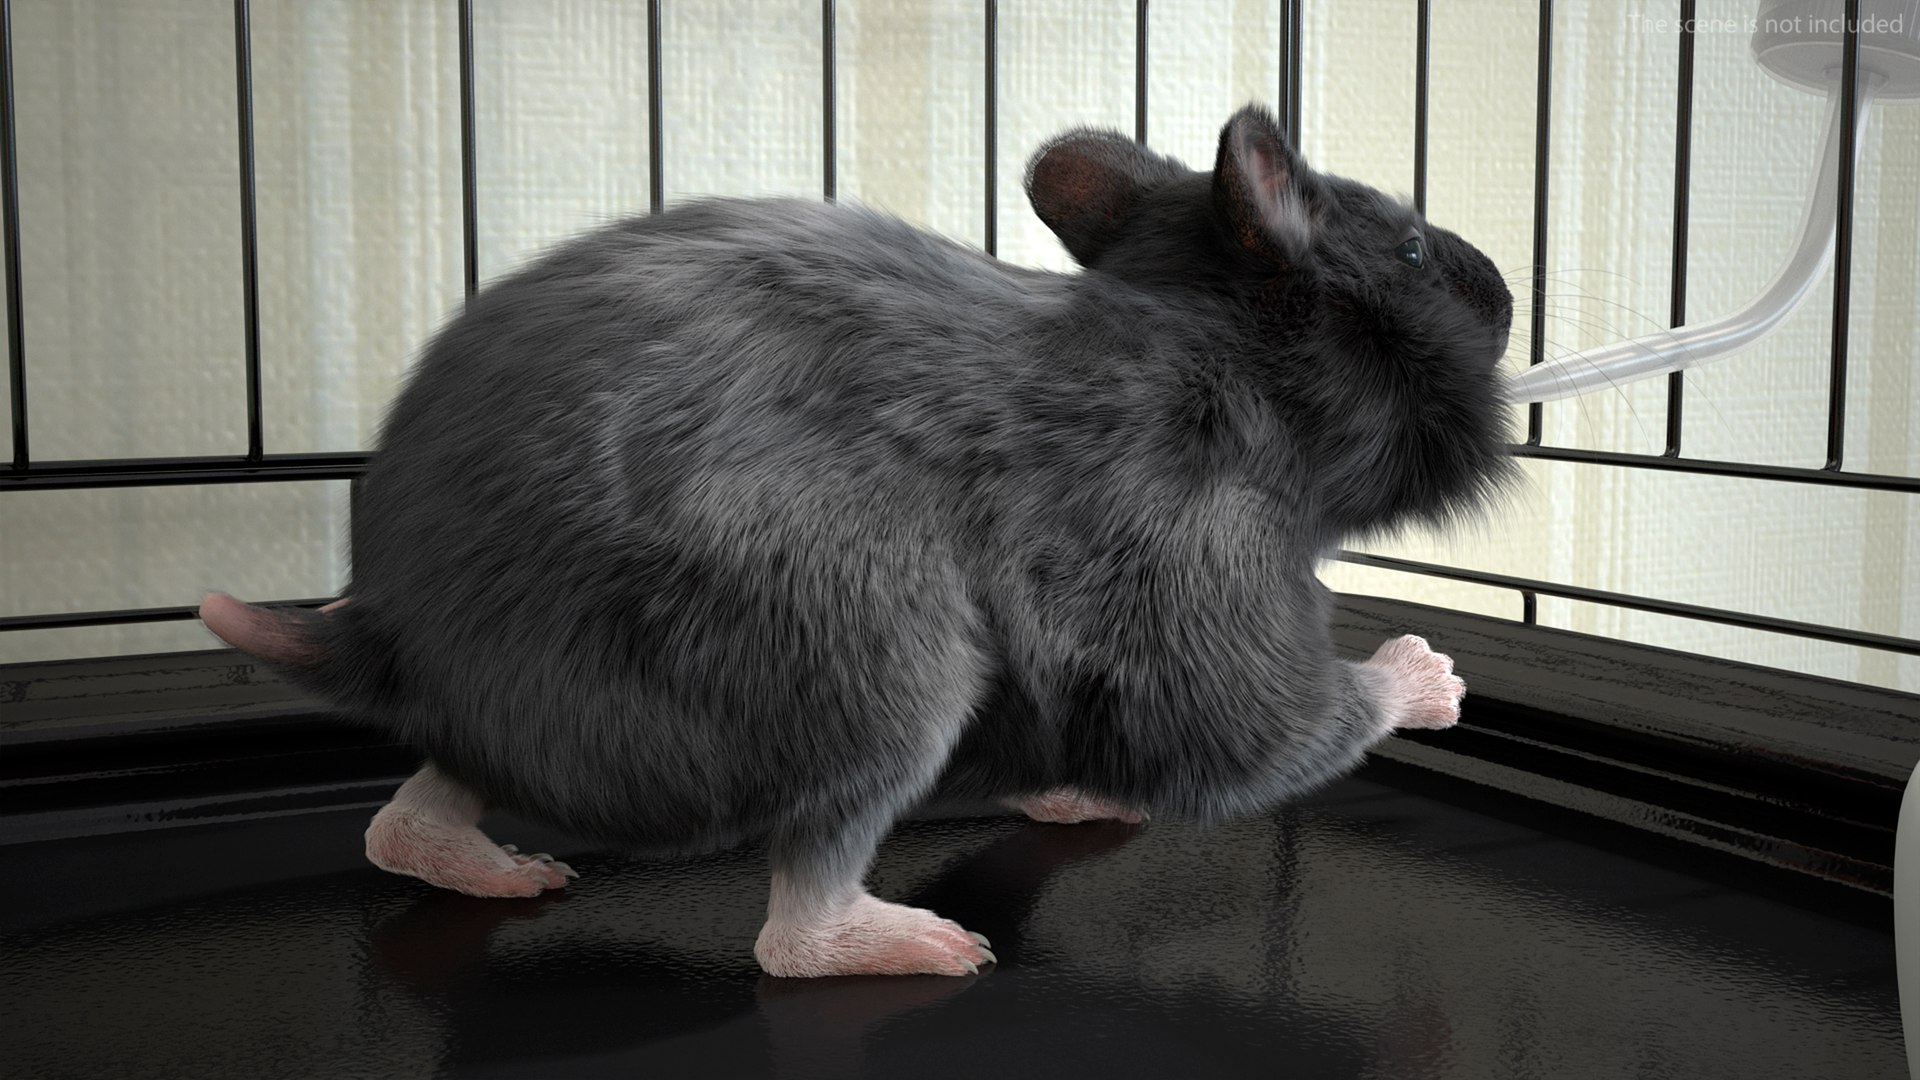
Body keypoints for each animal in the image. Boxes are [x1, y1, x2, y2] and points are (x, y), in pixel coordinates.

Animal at [200, 104, 1514, 978]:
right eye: (1409, 250)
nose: (1502, 290)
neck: (1211, 344)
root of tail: (386, 637)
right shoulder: (1198, 562)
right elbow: (1274, 721)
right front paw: (1423, 678)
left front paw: (1075, 790)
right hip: (882, 667)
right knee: (789, 931)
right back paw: (907, 941)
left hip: (546, 712)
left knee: (429, 793)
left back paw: (467, 859)